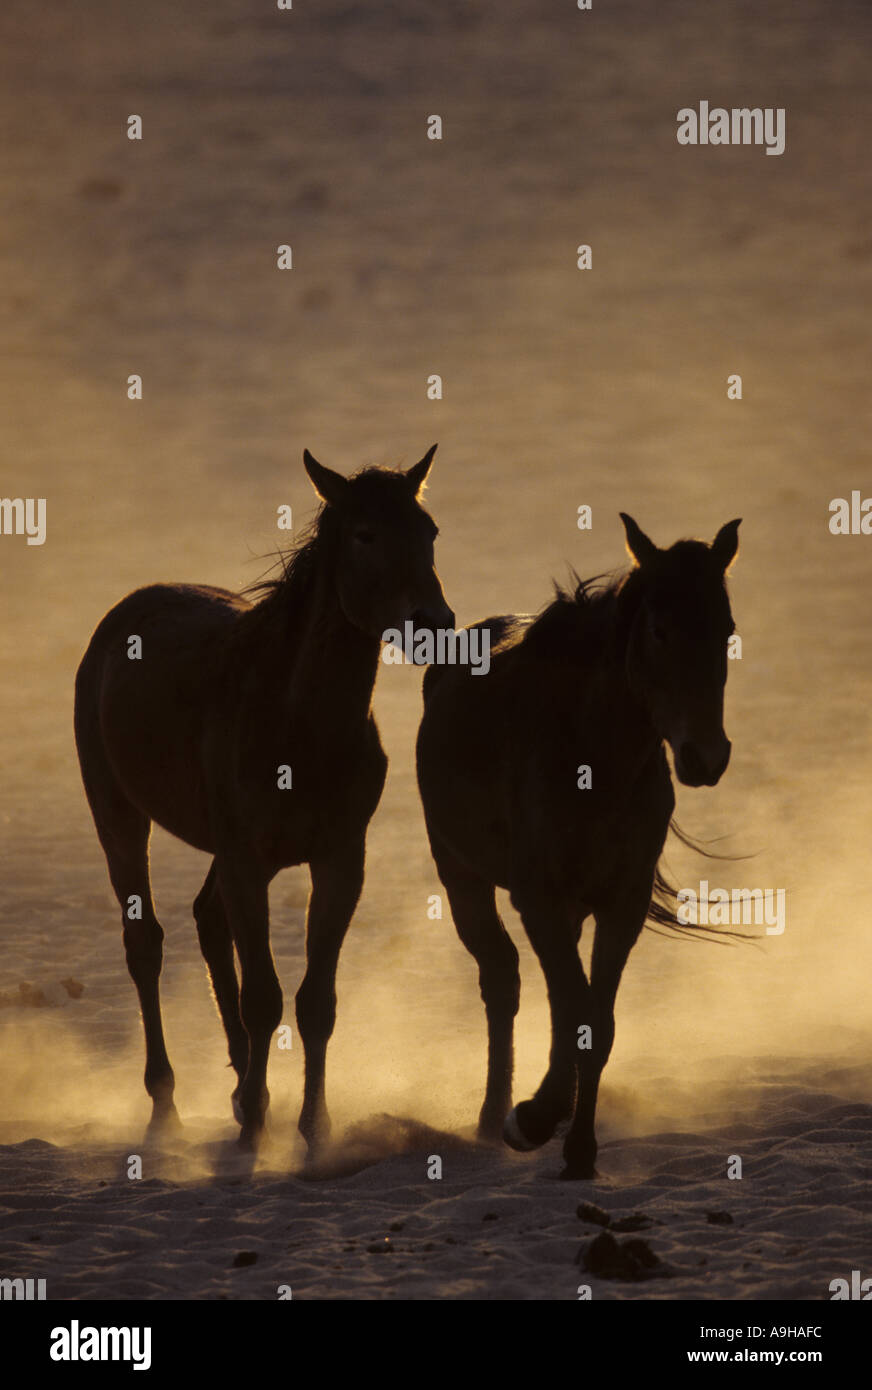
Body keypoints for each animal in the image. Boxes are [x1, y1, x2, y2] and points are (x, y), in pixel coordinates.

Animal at [74, 446, 454, 1153]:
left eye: (429, 530)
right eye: (365, 534)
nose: (435, 625)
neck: (296, 721)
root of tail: (124, 614)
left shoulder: (340, 861)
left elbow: (315, 1001)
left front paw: (312, 1124)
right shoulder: (249, 863)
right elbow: (264, 998)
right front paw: (255, 1123)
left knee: (208, 920)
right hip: (119, 815)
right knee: (146, 944)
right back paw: (167, 1103)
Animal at [416, 512, 740, 1178]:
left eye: (727, 631)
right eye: (661, 630)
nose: (706, 756)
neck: (592, 757)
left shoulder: (621, 904)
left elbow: (597, 1023)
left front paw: (579, 1148)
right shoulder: (537, 897)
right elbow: (577, 1010)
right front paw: (532, 1120)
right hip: (463, 880)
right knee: (502, 980)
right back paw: (494, 1117)